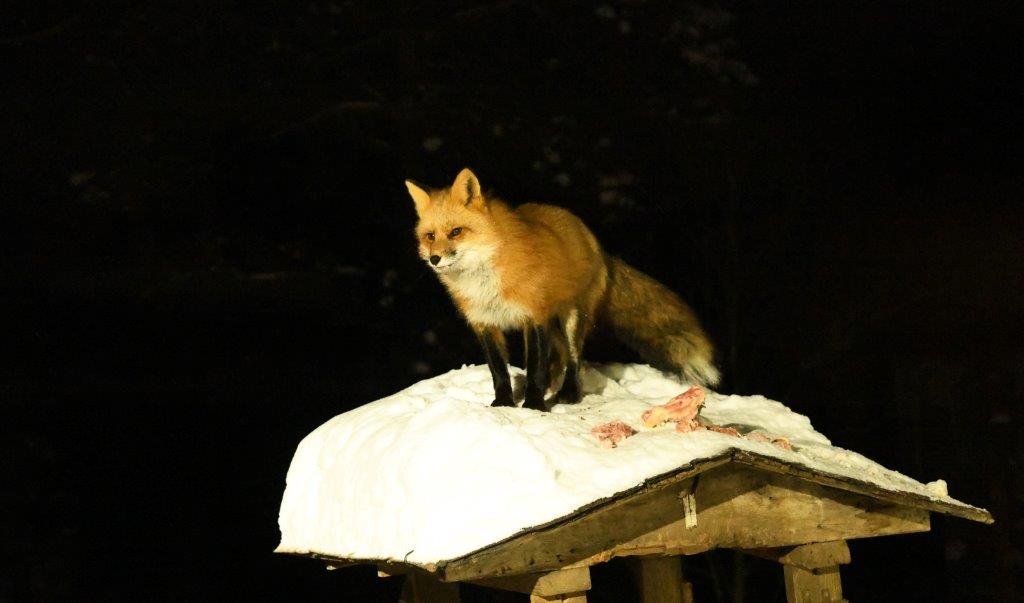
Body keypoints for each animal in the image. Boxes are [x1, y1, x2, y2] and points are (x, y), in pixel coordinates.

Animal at [406, 168, 719, 411]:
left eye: (456, 232)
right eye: (430, 236)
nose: (434, 259)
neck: (485, 281)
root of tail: (595, 242)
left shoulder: (534, 316)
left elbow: (535, 367)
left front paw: (534, 406)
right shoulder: (484, 323)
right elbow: (499, 371)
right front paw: (504, 404)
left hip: (571, 320)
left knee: (573, 360)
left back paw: (568, 393)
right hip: (555, 325)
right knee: (558, 360)